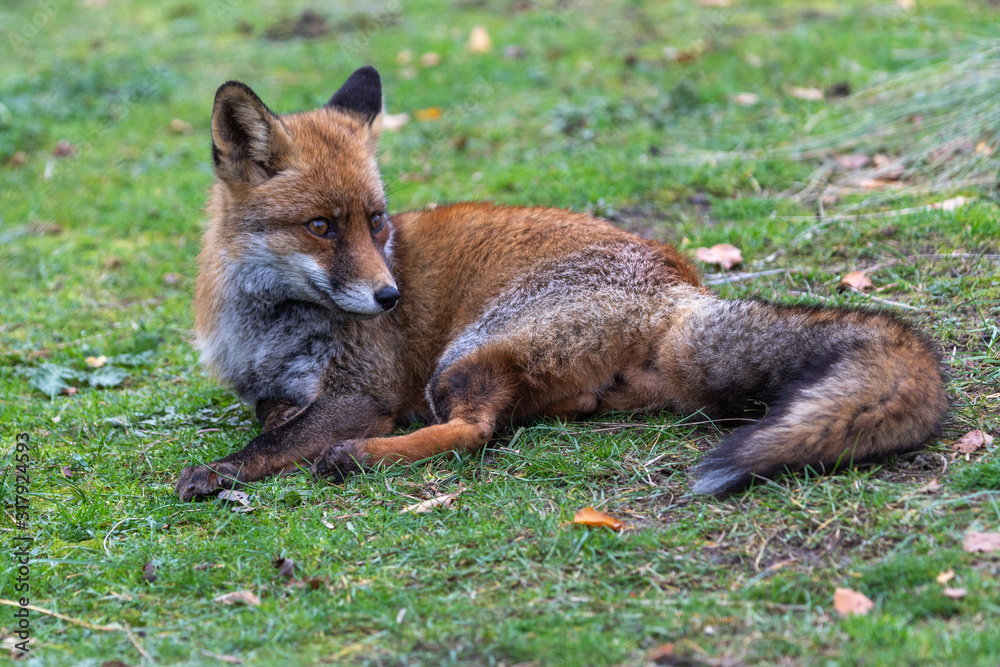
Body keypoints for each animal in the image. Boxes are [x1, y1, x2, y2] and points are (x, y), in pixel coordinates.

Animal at [175, 66, 948, 501]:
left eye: (375, 220)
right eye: (322, 227)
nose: (389, 297)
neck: (267, 324)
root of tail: (682, 288)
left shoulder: (365, 392)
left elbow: (275, 442)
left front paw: (222, 469)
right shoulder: (278, 388)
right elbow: (274, 420)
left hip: (460, 359)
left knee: (475, 431)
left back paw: (357, 458)